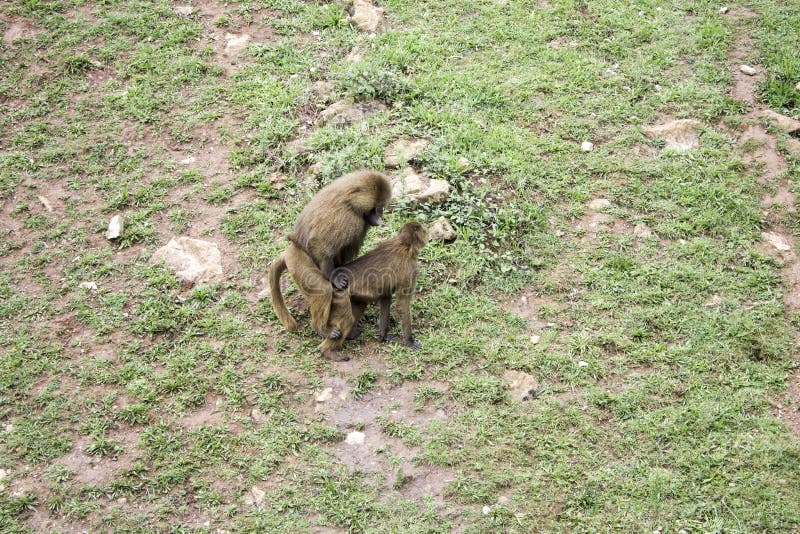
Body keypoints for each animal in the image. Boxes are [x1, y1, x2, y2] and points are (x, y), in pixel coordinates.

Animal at [269, 170, 392, 336]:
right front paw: (334, 277)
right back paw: (322, 329)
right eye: (376, 208)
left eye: (381, 208)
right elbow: (319, 243)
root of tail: (291, 248)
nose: (380, 220)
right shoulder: (348, 219)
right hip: (298, 261)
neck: (351, 201)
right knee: (322, 289)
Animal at [318, 221, 427, 360]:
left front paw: (383, 336)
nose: (426, 233)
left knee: (360, 305)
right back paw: (326, 351)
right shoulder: (410, 269)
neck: (403, 245)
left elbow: (386, 297)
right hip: (340, 294)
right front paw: (409, 341)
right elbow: (402, 305)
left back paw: (349, 335)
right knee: (347, 320)